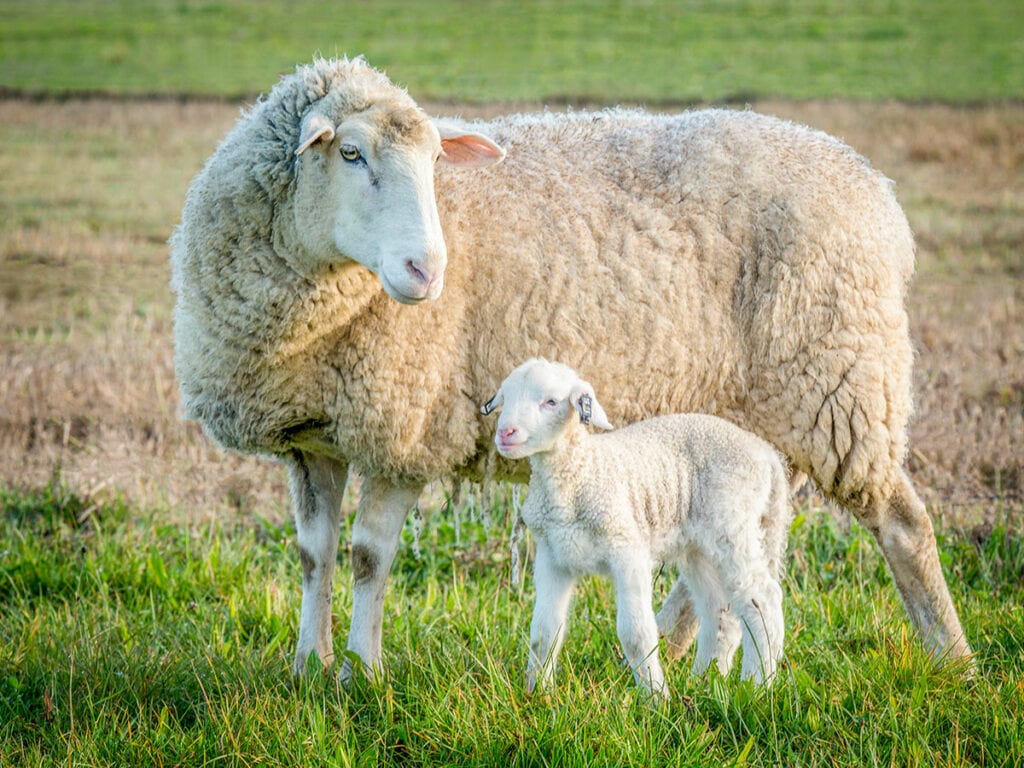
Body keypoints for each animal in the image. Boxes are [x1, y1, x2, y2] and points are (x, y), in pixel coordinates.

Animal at [483, 358, 790, 697]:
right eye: (505, 399)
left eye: (550, 401)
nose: (505, 433)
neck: (579, 474)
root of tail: (766, 454)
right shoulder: (553, 557)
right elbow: (544, 631)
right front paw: (538, 693)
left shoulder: (627, 550)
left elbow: (635, 633)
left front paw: (656, 697)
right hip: (700, 546)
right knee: (718, 610)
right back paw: (704, 680)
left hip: (734, 524)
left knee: (762, 599)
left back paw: (757, 684)